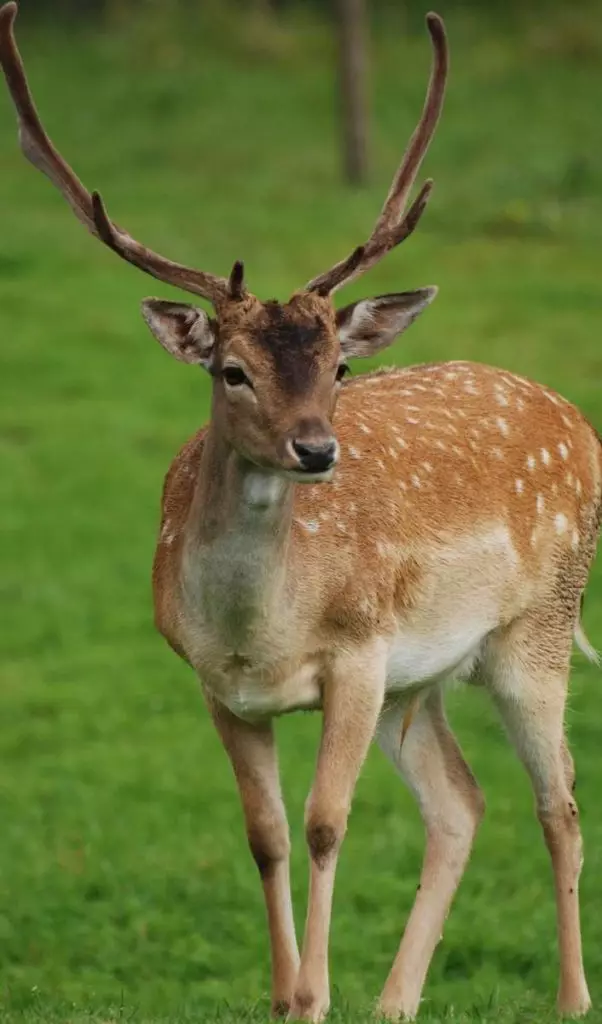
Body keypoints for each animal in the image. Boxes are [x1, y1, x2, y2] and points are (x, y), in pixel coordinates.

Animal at [2, 4, 597, 1019]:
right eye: (231, 370)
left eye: (339, 365)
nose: (318, 449)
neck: (260, 635)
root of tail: (577, 420)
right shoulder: (217, 685)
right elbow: (267, 835)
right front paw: (286, 996)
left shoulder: (357, 656)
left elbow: (325, 824)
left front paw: (315, 994)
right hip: (420, 679)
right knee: (462, 802)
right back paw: (396, 1002)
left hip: (537, 629)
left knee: (558, 801)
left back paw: (569, 998)